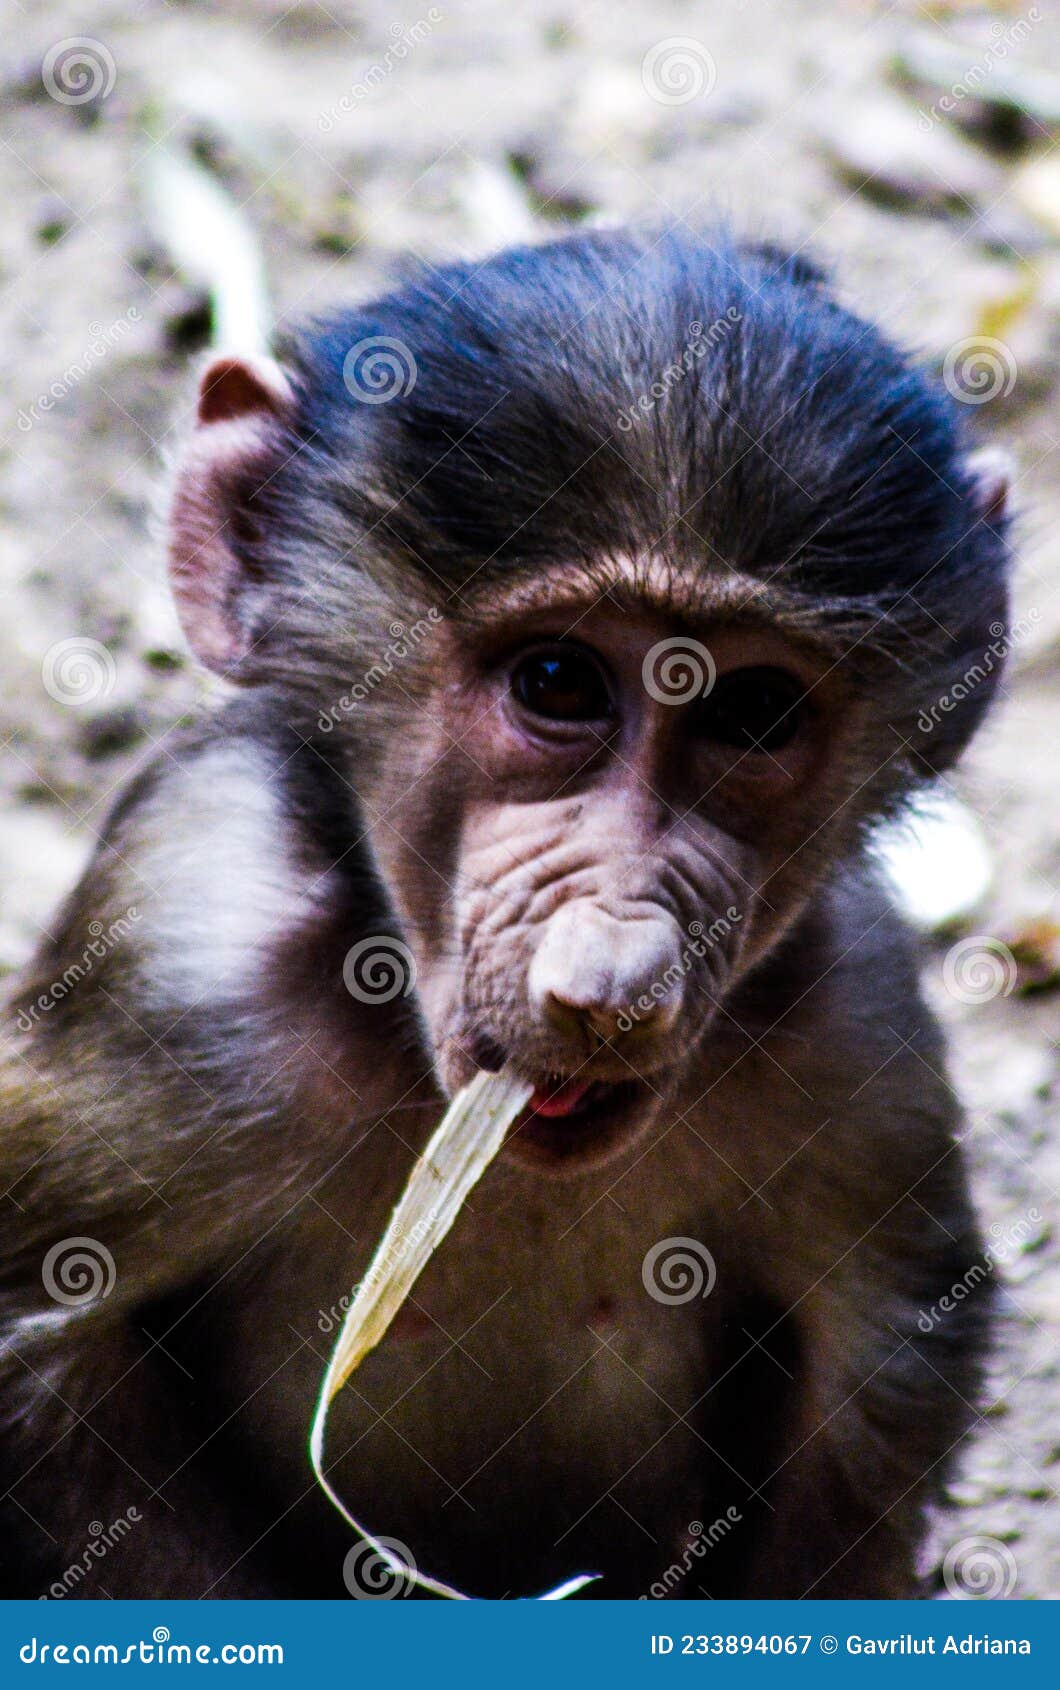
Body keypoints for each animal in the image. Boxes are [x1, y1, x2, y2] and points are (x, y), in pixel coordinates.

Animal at [0, 226, 1009, 1601]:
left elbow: (884, 1347)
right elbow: (54, 1333)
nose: (619, 969)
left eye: (753, 714)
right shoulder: (177, 949)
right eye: (557, 682)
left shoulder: (854, 1026)